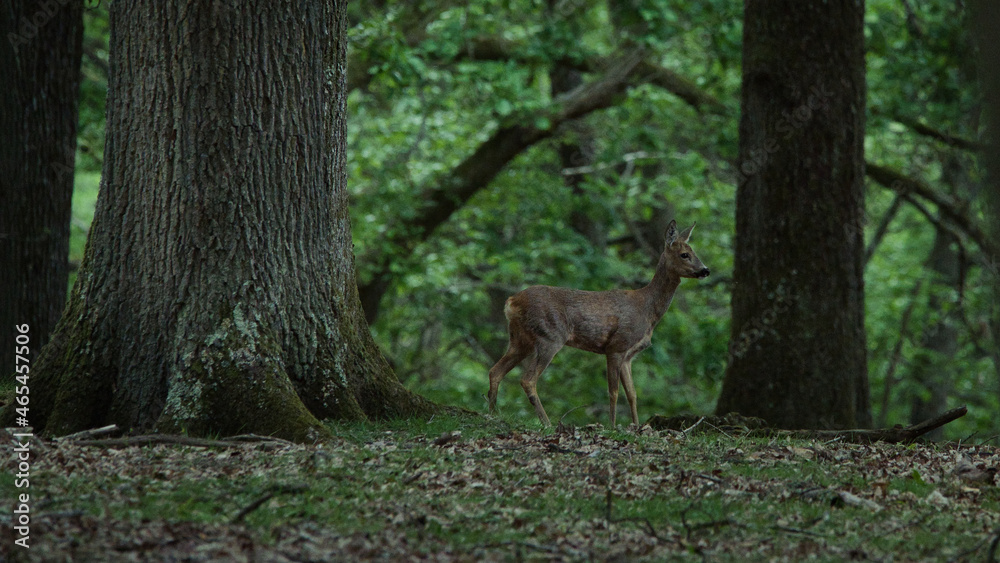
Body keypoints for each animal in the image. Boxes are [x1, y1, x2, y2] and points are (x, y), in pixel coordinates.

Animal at [487, 220, 710, 427]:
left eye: (694, 251)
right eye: (684, 254)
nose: (705, 270)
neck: (648, 310)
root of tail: (511, 301)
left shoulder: (629, 355)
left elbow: (632, 394)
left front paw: (636, 426)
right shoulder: (616, 346)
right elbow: (614, 392)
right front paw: (612, 426)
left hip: (520, 339)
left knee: (495, 371)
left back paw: (493, 414)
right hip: (549, 336)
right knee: (528, 379)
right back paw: (546, 422)